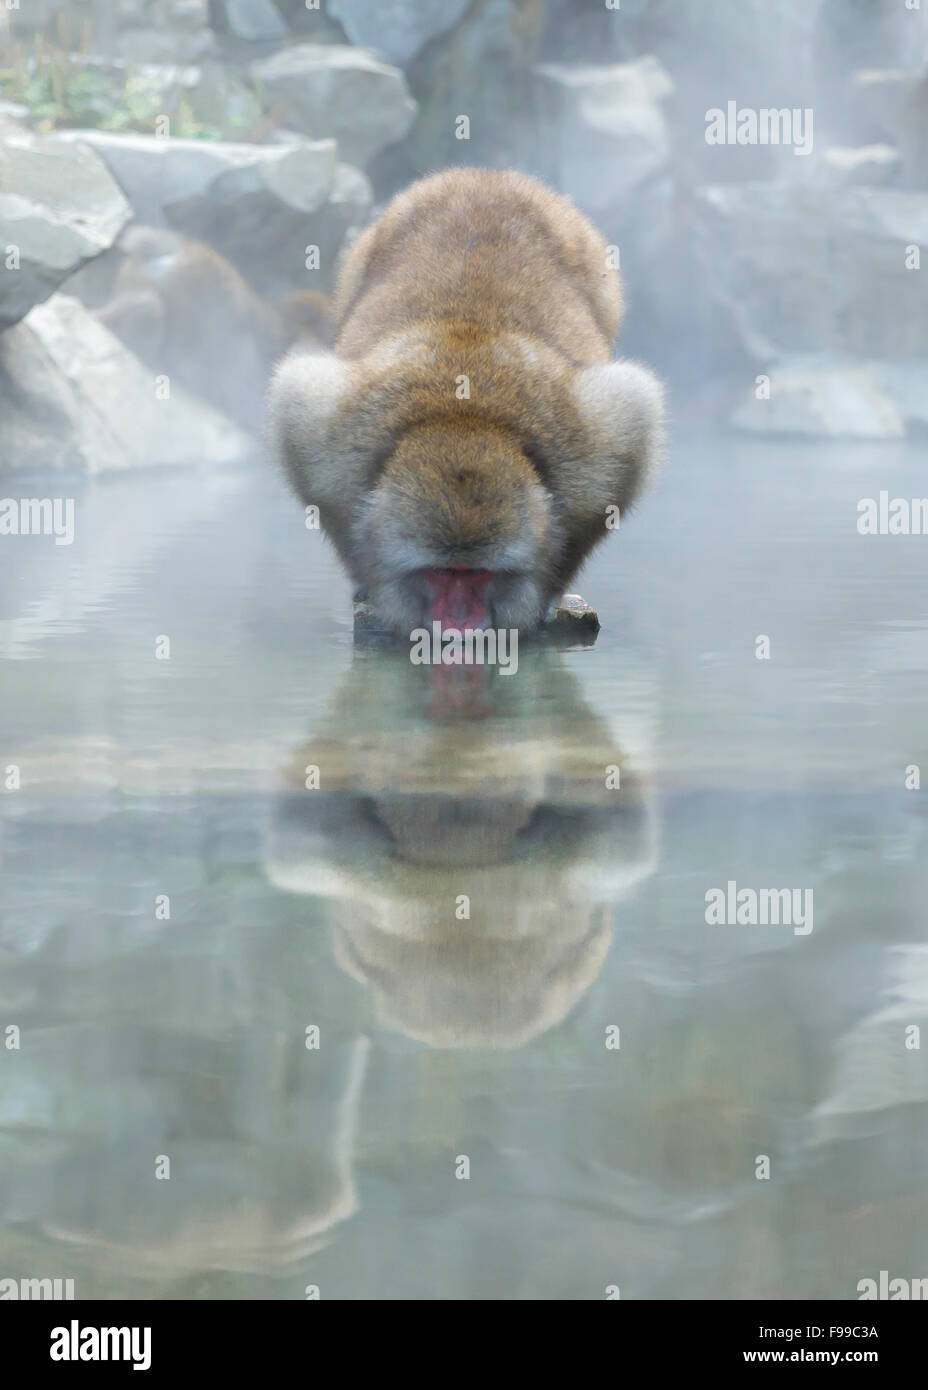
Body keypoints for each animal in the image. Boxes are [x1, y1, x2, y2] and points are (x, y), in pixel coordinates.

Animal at [268, 168, 664, 634]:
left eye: (478, 574)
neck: (462, 416)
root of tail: (486, 176)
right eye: (441, 572)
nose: (459, 623)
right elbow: (300, 407)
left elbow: (630, 412)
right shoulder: (336, 441)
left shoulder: (591, 451)